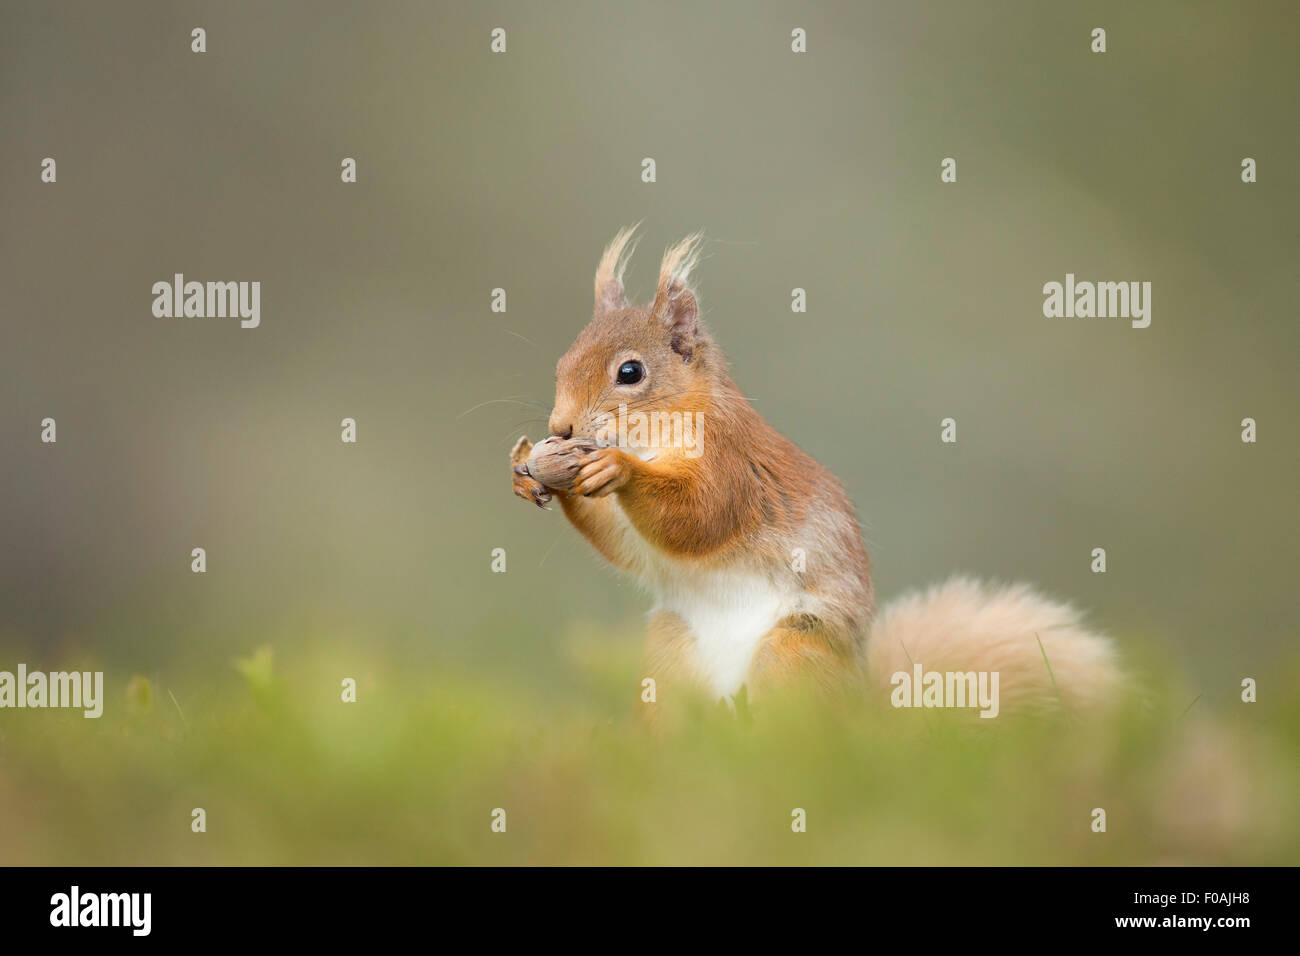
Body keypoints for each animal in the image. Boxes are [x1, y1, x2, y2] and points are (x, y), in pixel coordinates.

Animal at [511, 227, 1121, 710]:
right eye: (562, 362)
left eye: (630, 372)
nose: (560, 427)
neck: (670, 428)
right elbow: (624, 542)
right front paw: (528, 471)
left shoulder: (733, 464)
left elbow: (698, 517)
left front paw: (616, 468)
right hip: (670, 649)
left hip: (794, 651)